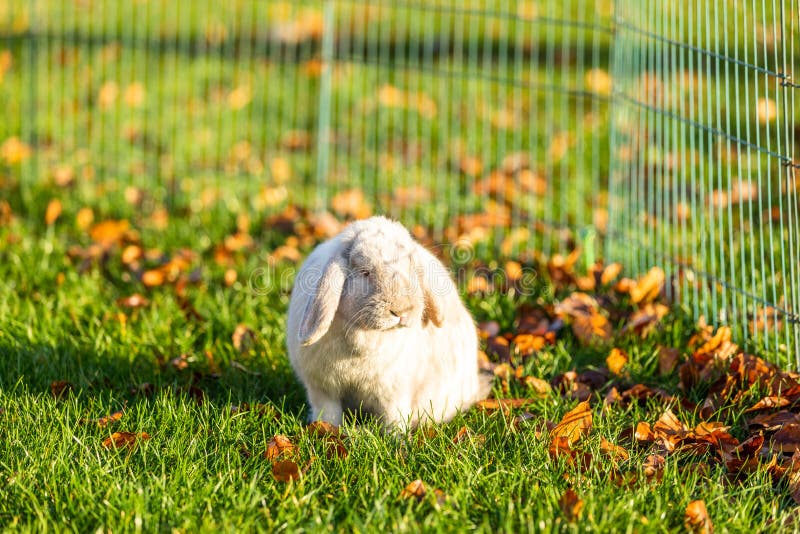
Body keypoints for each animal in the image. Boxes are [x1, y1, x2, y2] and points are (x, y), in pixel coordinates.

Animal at [286, 215, 491, 429]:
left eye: (412, 270)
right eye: (365, 272)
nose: (401, 310)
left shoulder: (393, 393)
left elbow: (393, 417)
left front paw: (396, 436)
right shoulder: (322, 390)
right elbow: (328, 414)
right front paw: (327, 429)